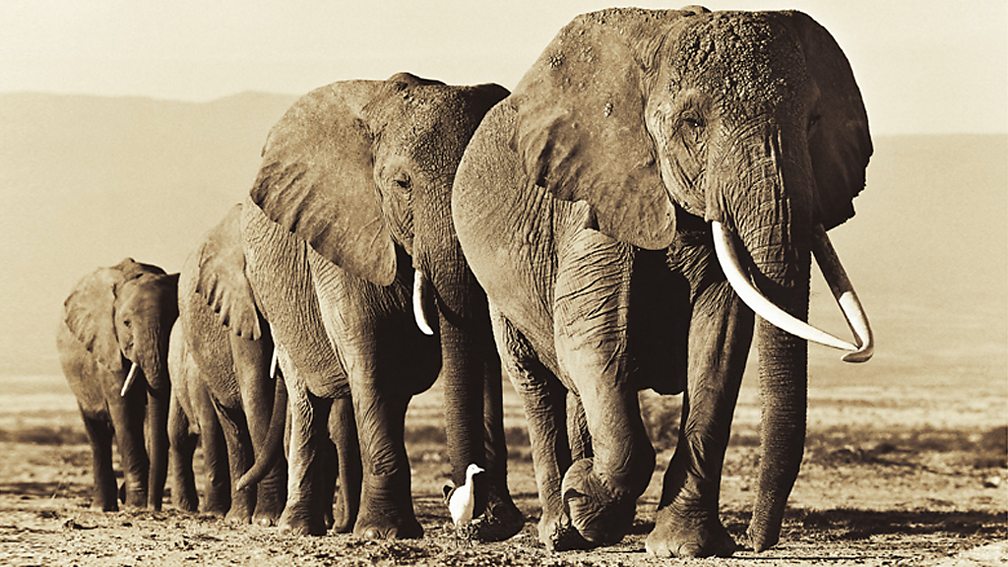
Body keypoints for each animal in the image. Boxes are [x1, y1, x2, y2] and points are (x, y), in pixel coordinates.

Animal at [57, 258, 179, 511]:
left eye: (175, 320)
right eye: (126, 323)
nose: (153, 507)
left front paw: (135, 500)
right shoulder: (107, 345)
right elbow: (125, 410)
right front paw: (136, 503)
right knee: (97, 433)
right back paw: (102, 507)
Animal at [233, 72, 523, 540]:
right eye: (402, 184)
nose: (475, 508)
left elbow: (481, 352)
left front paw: (497, 522)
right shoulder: (343, 233)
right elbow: (367, 354)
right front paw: (381, 532)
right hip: (277, 303)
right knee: (308, 399)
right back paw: (299, 527)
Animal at [452, 7, 874, 558]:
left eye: (813, 123)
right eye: (692, 124)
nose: (756, 542)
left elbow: (717, 347)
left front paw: (682, 546)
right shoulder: (594, 199)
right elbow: (592, 342)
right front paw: (581, 492)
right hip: (496, 288)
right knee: (536, 380)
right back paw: (561, 529)